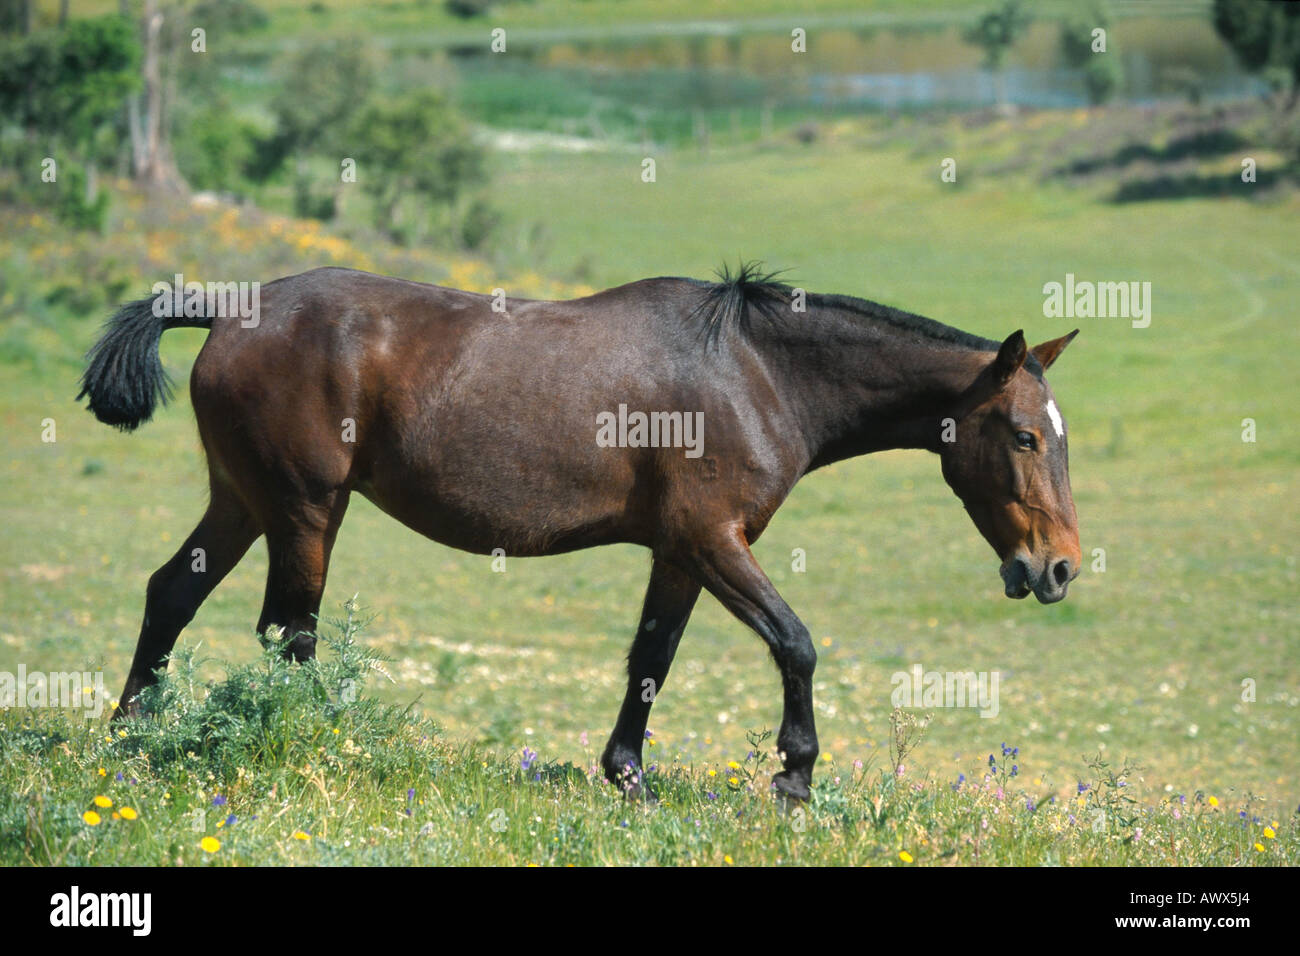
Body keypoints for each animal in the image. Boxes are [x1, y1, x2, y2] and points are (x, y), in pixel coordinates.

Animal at [78, 263, 1081, 800]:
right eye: (1024, 435)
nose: (1060, 568)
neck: (756, 372)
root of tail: (231, 307)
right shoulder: (715, 540)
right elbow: (795, 644)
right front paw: (794, 778)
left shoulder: (680, 552)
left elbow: (653, 658)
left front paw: (627, 775)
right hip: (304, 510)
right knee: (290, 633)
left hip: (244, 502)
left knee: (172, 594)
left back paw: (130, 735)